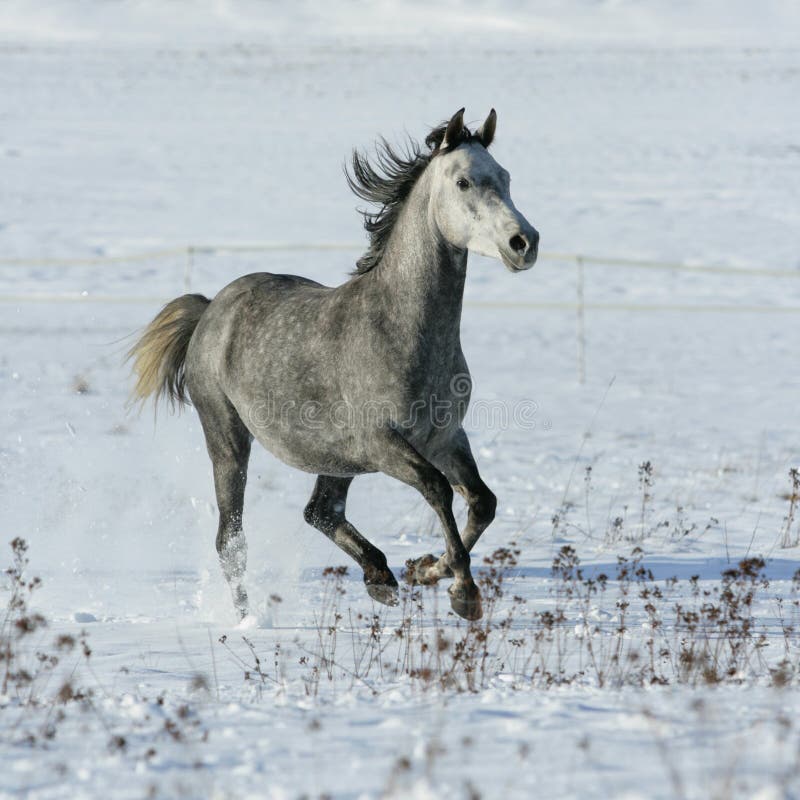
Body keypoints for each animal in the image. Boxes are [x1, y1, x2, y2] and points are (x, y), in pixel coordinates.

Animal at [128, 108, 538, 621]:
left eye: (505, 177)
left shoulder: (445, 436)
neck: (401, 329)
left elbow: (483, 502)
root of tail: (210, 310)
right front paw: (464, 592)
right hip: (228, 438)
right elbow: (438, 488)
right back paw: (247, 619)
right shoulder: (382, 444)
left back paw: (380, 575)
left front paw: (427, 569)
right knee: (231, 539)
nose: (524, 242)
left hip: (335, 458)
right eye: (463, 182)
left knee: (320, 512)